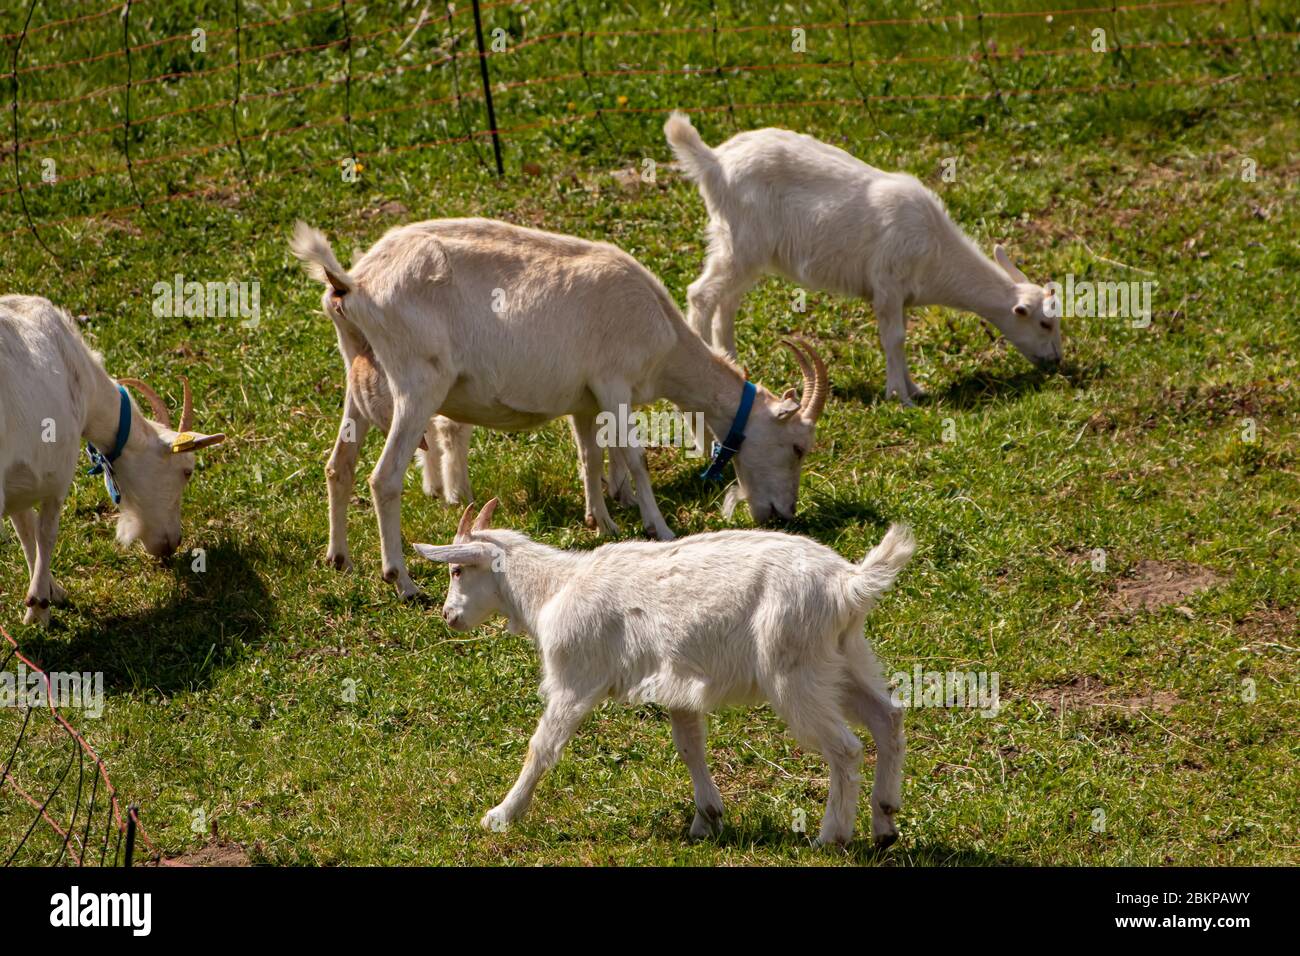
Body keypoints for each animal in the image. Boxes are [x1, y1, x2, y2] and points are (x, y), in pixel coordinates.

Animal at [0, 295, 225, 625]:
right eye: (187, 471)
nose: (173, 543)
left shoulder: (20, 479)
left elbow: (26, 531)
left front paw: (51, 591)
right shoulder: (58, 470)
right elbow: (46, 533)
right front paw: (39, 606)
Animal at [291, 218, 829, 600]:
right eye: (798, 447)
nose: (784, 514)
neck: (663, 330)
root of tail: (352, 284)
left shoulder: (584, 399)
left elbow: (590, 455)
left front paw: (602, 522)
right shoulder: (613, 382)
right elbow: (635, 457)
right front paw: (659, 528)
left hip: (356, 379)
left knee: (338, 465)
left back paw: (338, 559)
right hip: (417, 386)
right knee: (384, 478)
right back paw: (402, 581)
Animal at [415, 498, 915, 847]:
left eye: (457, 570)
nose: (448, 616)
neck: (552, 589)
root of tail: (848, 585)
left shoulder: (575, 679)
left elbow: (543, 748)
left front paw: (501, 815)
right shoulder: (679, 688)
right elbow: (690, 748)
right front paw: (707, 819)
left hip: (795, 673)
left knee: (846, 748)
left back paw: (832, 835)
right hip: (845, 659)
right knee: (888, 716)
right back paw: (884, 824)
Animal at [665, 112, 1062, 404]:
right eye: (1045, 323)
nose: (1057, 362)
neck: (935, 247)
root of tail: (714, 162)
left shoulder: (901, 295)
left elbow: (900, 337)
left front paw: (914, 388)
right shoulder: (887, 284)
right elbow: (894, 338)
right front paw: (899, 396)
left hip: (741, 248)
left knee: (727, 301)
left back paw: (733, 363)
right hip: (741, 242)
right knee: (701, 294)